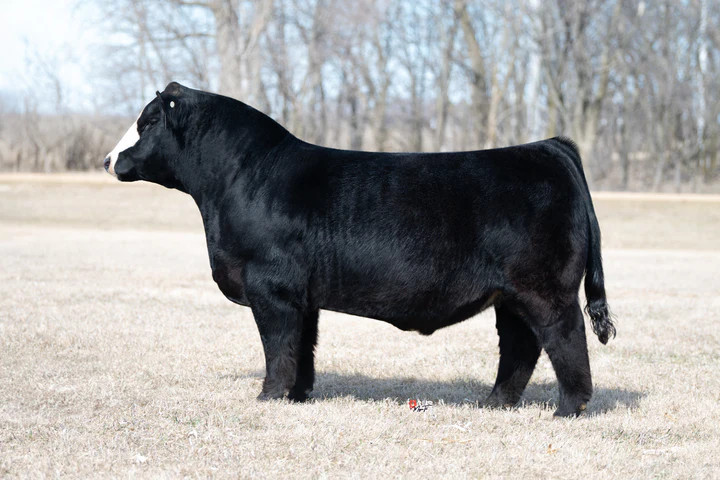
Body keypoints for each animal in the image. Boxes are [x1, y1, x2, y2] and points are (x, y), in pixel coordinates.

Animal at [103, 82, 615, 417]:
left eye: (148, 122)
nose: (108, 159)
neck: (239, 179)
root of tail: (548, 146)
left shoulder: (271, 288)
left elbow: (278, 346)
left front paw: (269, 397)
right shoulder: (303, 296)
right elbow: (302, 347)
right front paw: (297, 395)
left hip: (546, 290)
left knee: (565, 338)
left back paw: (568, 409)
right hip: (509, 296)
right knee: (520, 345)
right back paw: (493, 404)